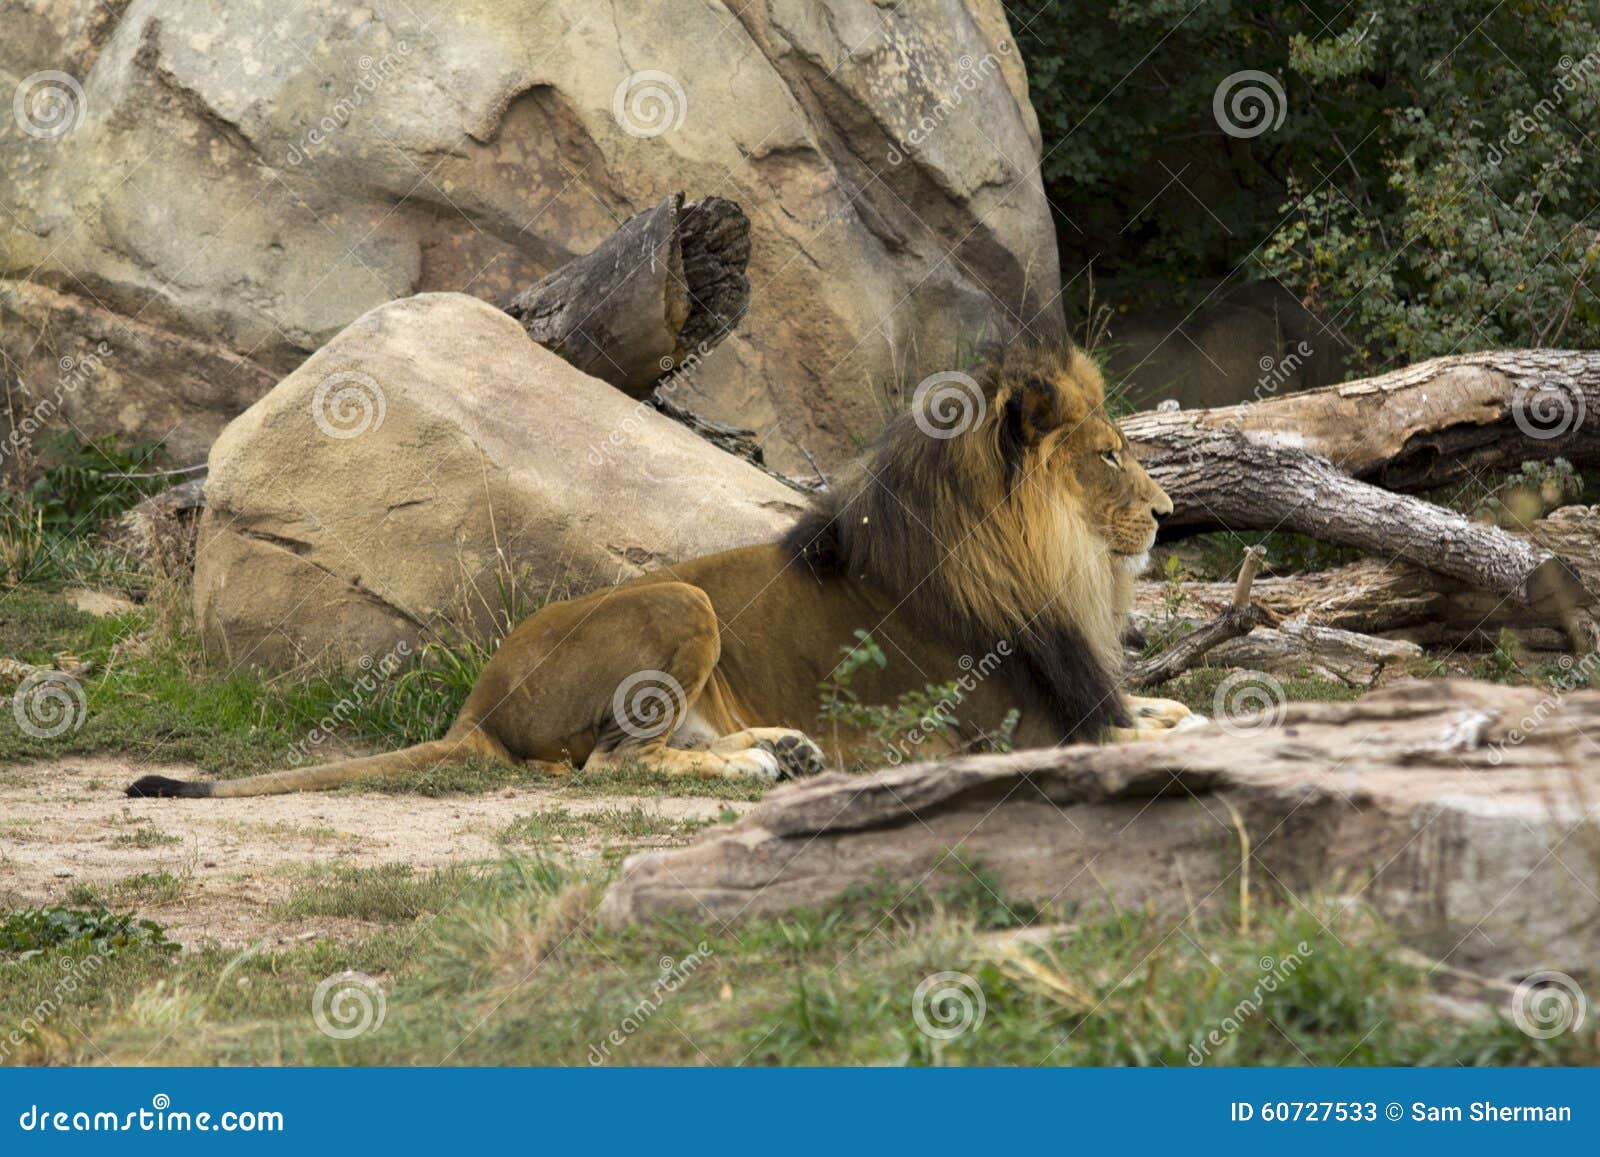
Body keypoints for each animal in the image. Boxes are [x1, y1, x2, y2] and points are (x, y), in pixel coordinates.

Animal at [126, 344, 1189, 800]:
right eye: (1108, 456)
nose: (1168, 513)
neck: (1058, 567)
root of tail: (476, 704)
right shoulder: (1011, 722)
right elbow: (1135, 724)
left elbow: (1160, 706)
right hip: (676, 598)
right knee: (607, 763)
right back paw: (761, 760)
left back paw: (784, 747)